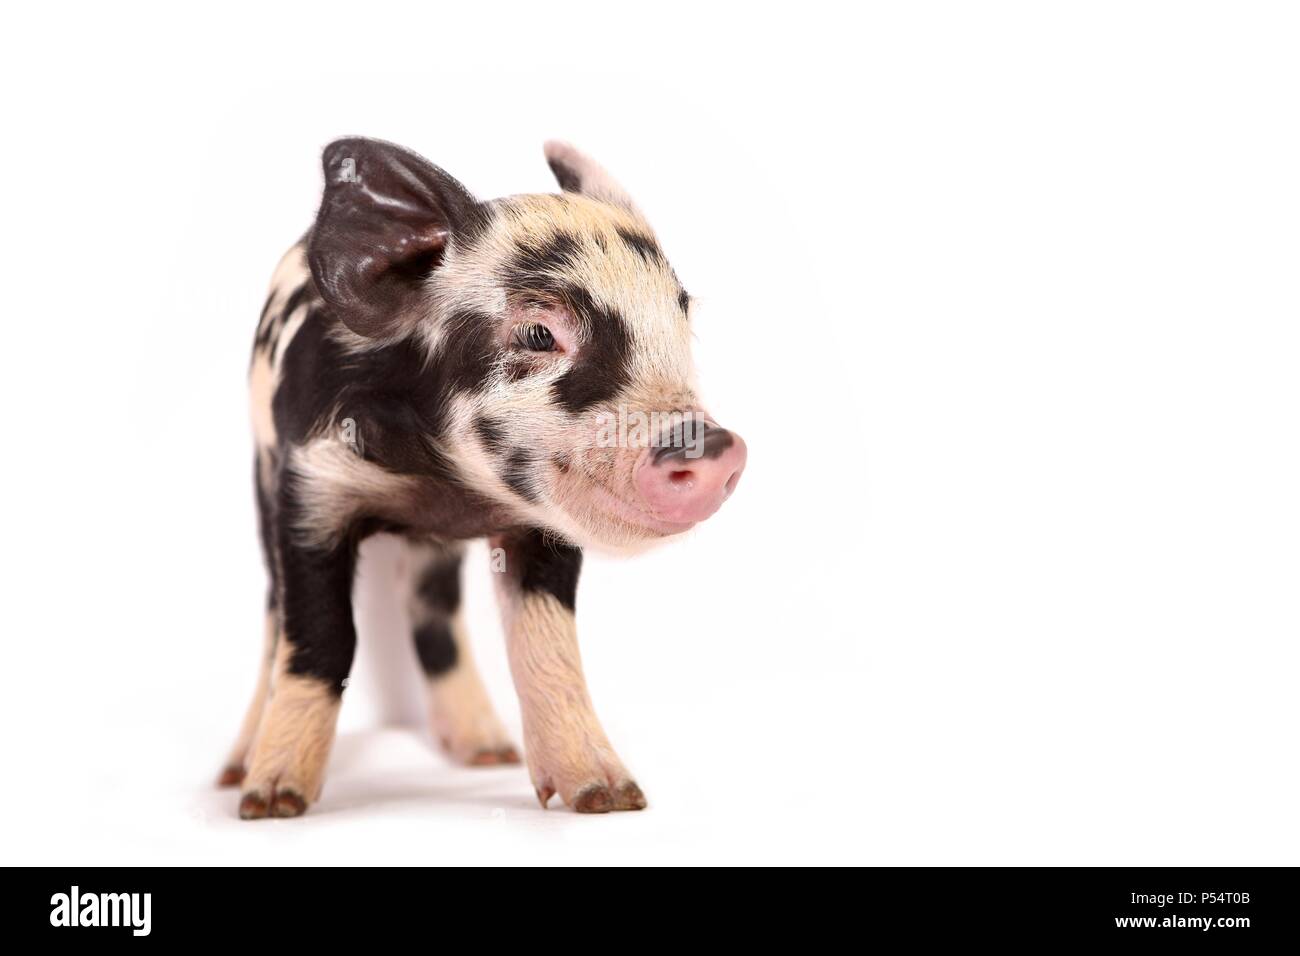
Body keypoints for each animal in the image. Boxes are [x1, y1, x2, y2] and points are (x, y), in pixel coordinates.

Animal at [220, 138, 748, 817]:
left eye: (681, 318)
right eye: (538, 333)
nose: (713, 445)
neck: (444, 487)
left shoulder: (544, 527)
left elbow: (547, 643)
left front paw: (609, 797)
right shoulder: (310, 491)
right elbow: (319, 635)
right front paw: (271, 805)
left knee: (433, 608)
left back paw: (486, 753)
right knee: (274, 614)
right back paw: (233, 774)